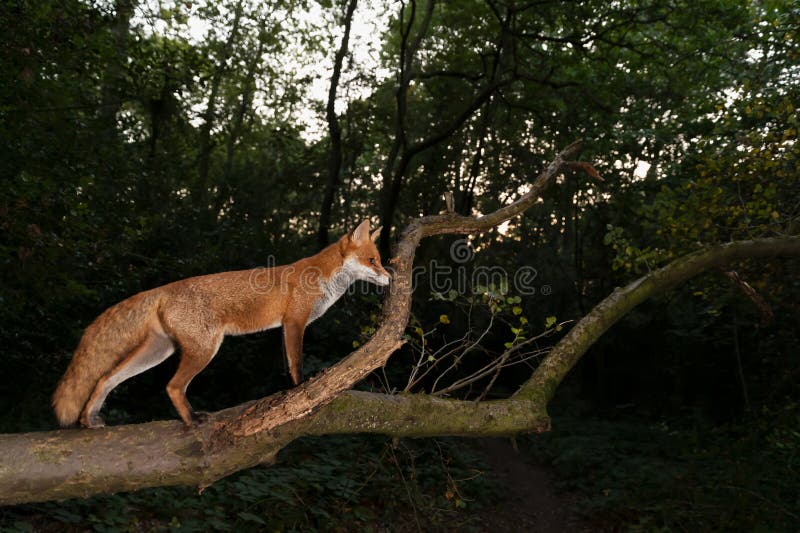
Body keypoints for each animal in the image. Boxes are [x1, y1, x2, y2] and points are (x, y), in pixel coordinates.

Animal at [52, 220, 390, 429]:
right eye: (373, 260)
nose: (390, 277)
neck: (324, 277)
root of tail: (162, 289)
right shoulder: (295, 321)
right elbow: (296, 363)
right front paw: (300, 390)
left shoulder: (284, 327)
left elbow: (285, 363)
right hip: (205, 348)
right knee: (172, 385)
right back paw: (191, 420)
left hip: (158, 352)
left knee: (105, 378)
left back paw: (89, 419)